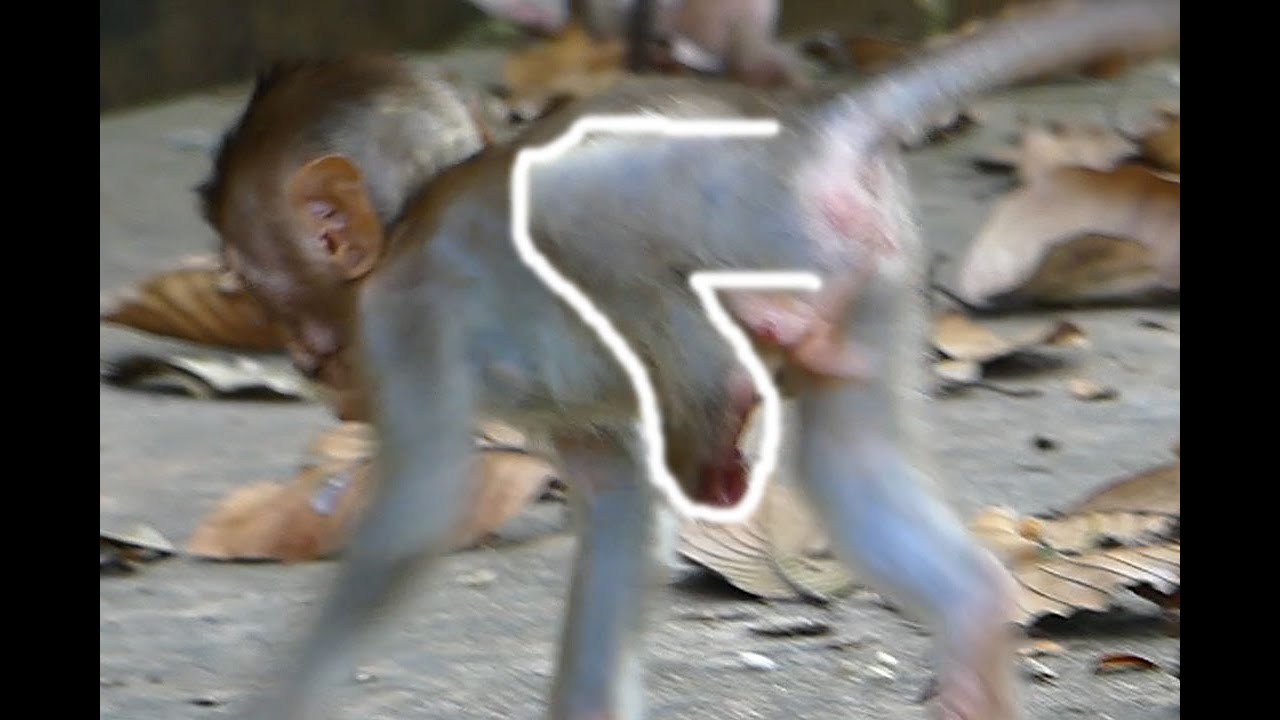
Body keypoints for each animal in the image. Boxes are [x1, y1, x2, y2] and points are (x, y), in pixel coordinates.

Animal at [198, 2, 1179, 718]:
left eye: (255, 287)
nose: (302, 360)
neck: (403, 224)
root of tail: (807, 131)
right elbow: (618, 508)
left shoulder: (404, 321)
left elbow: (416, 518)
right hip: (877, 274)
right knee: (852, 462)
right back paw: (972, 616)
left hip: (726, 201)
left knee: (567, 200)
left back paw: (735, 384)